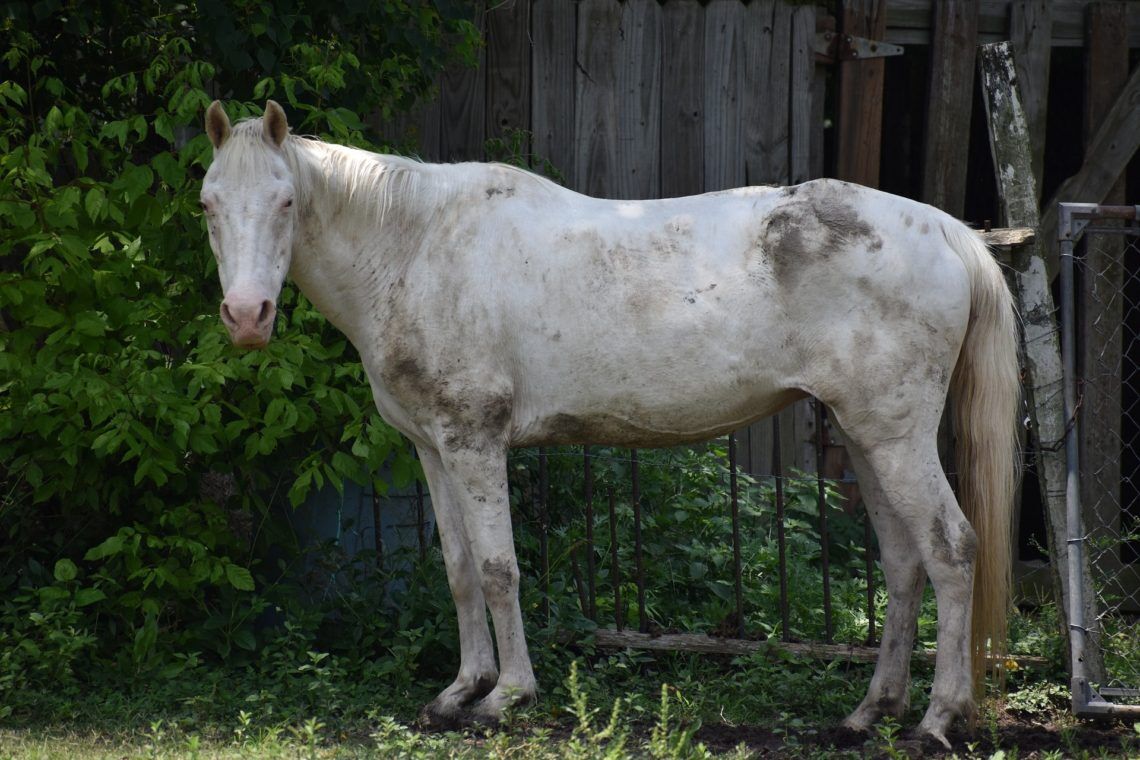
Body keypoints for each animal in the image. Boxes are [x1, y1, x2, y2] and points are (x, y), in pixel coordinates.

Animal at [200, 100, 1019, 747]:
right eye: (208, 206)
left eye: (284, 203)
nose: (245, 318)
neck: (418, 246)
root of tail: (946, 231)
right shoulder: (433, 448)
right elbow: (460, 571)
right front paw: (457, 693)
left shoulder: (475, 442)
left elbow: (498, 570)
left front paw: (506, 696)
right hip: (864, 435)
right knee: (904, 562)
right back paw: (869, 712)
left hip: (896, 437)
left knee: (951, 551)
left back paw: (938, 719)